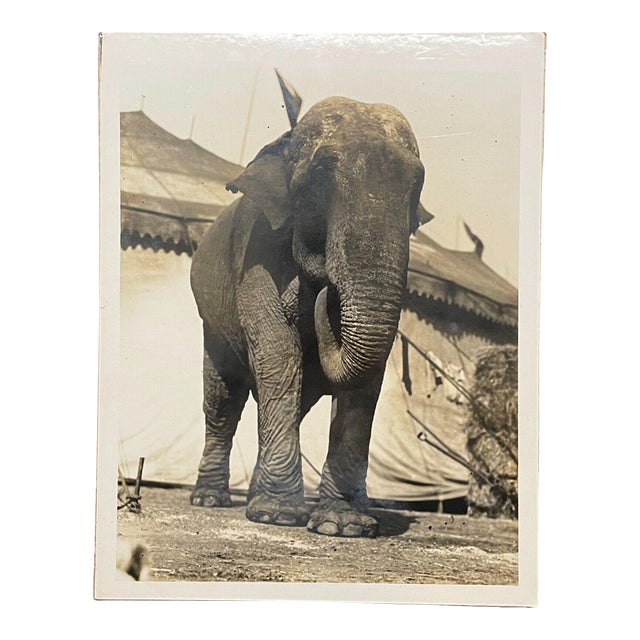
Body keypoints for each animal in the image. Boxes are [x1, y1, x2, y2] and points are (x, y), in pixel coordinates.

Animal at [189, 96, 428, 537]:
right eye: (320, 174)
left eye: (416, 185)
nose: (325, 295)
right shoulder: (257, 253)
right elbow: (278, 352)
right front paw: (278, 516)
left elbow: (369, 375)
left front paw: (342, 525)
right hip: (211, 322)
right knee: (223, 399)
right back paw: (210, 499)